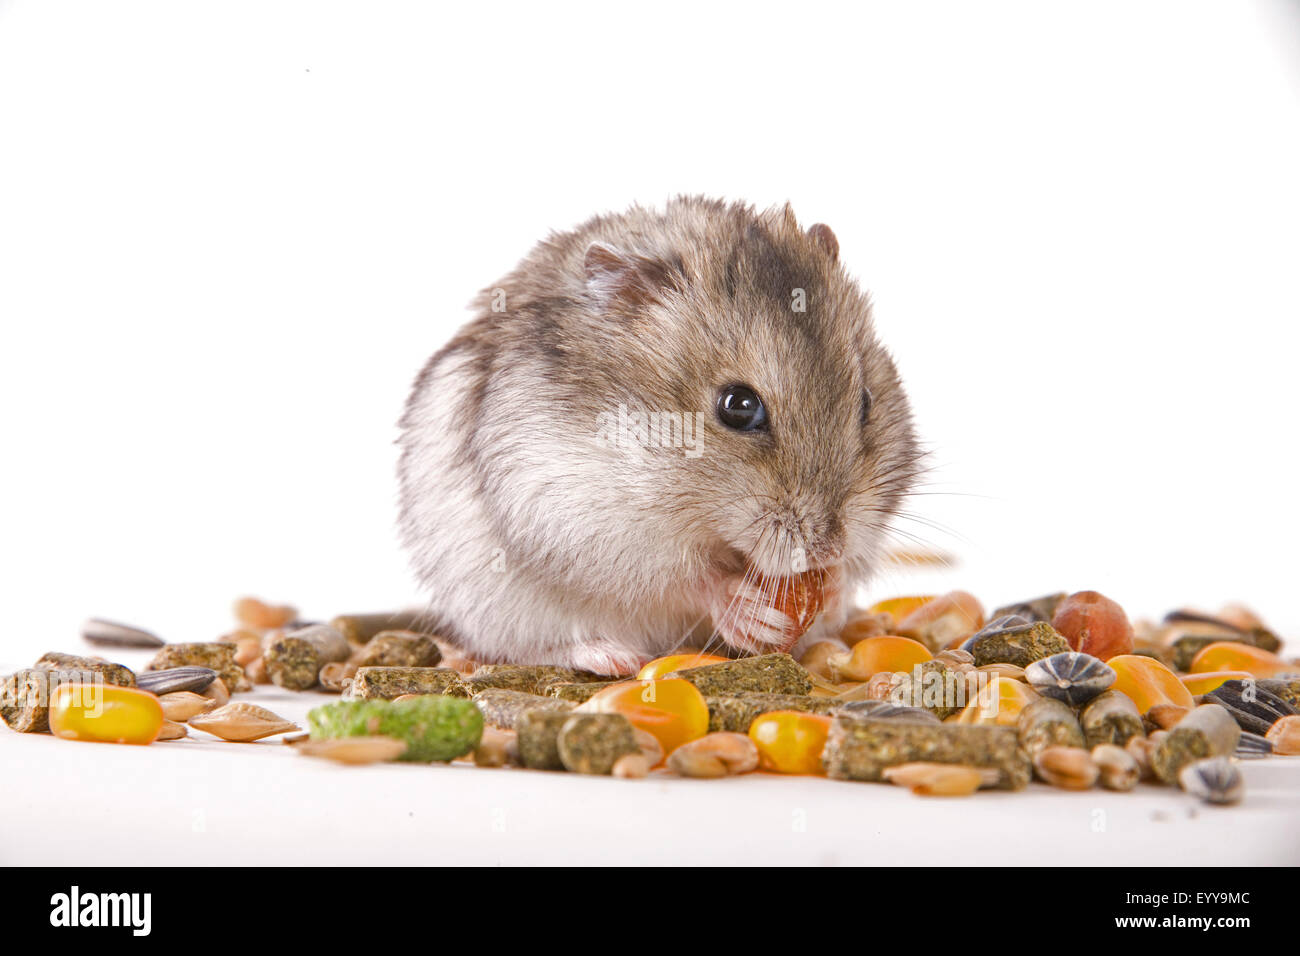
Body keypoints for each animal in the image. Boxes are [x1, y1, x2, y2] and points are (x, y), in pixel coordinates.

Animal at [397, 197, 920, 675]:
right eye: (739, 406)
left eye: (866, 402)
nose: (828, 549)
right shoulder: (585, 519)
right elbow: (685, 579)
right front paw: (749, 612)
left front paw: (831, 587)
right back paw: (611, 657)